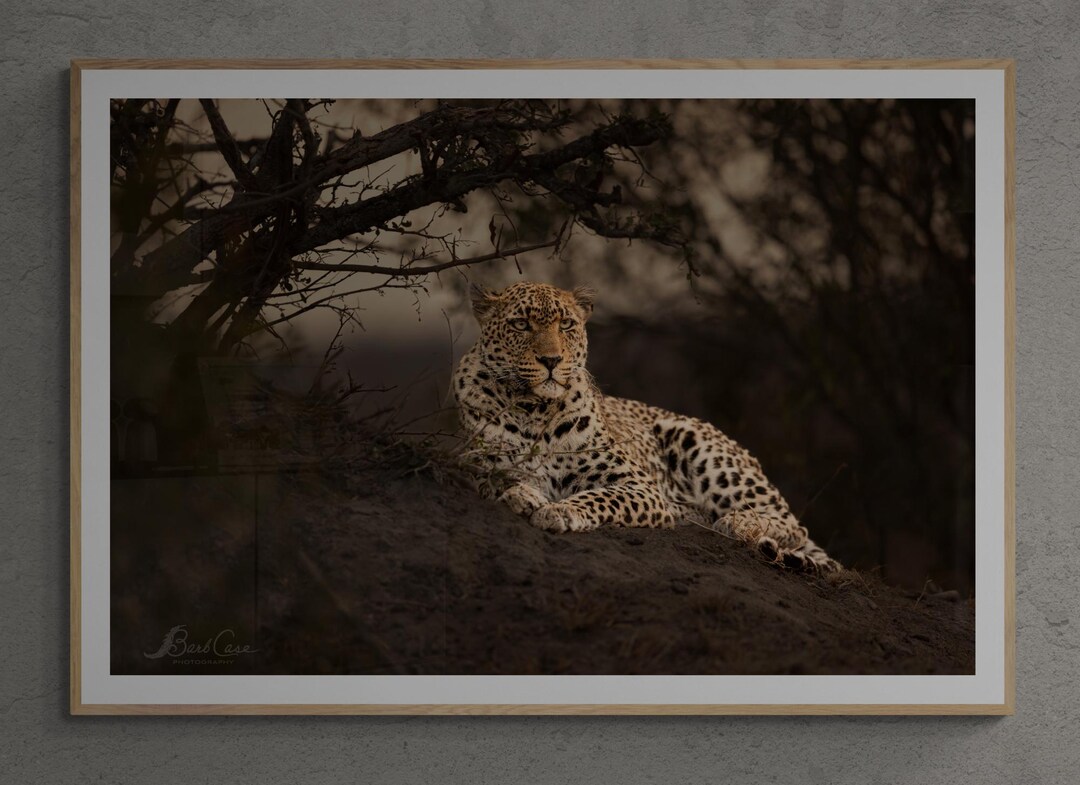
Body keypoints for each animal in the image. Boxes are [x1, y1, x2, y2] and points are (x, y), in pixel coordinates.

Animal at [451, 281, 840, 573]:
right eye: (521, 325)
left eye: (566, 325)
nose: (551, 360)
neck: (535, 409)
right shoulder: (476, 463)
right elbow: (501, 479)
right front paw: (523, 494)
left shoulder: (639, 486)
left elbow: (599, 496)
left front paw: (560, 510)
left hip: (700, 445)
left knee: (794, 525)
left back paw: (738, 523)